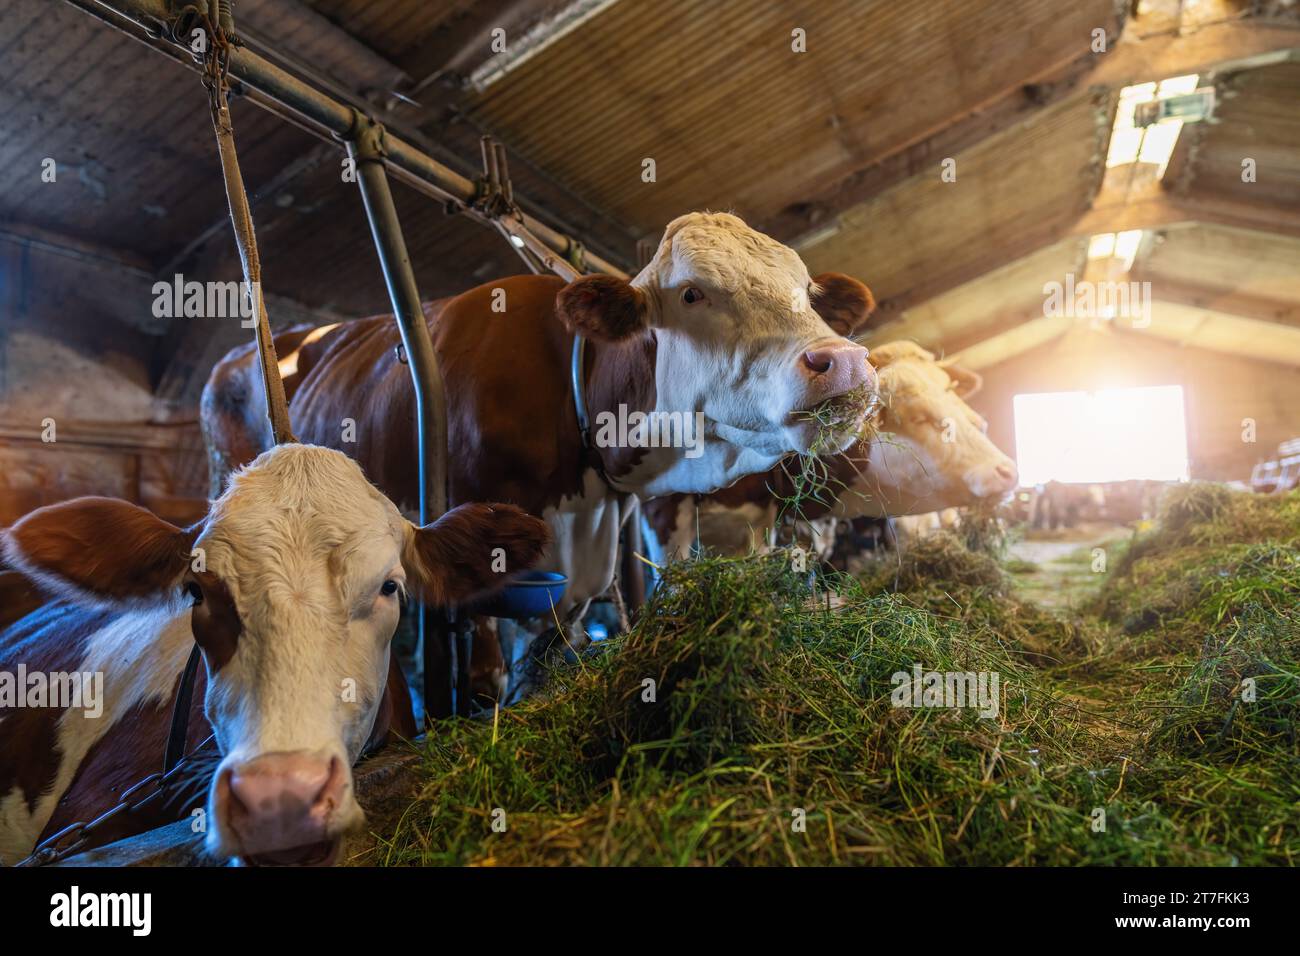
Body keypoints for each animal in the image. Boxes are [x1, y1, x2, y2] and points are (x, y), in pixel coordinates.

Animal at [202, 213, 879, 691]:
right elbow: (487, 676)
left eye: (808, 292)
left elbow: (551, 655)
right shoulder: (475, 535)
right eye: (692, 294)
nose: (845, 362)